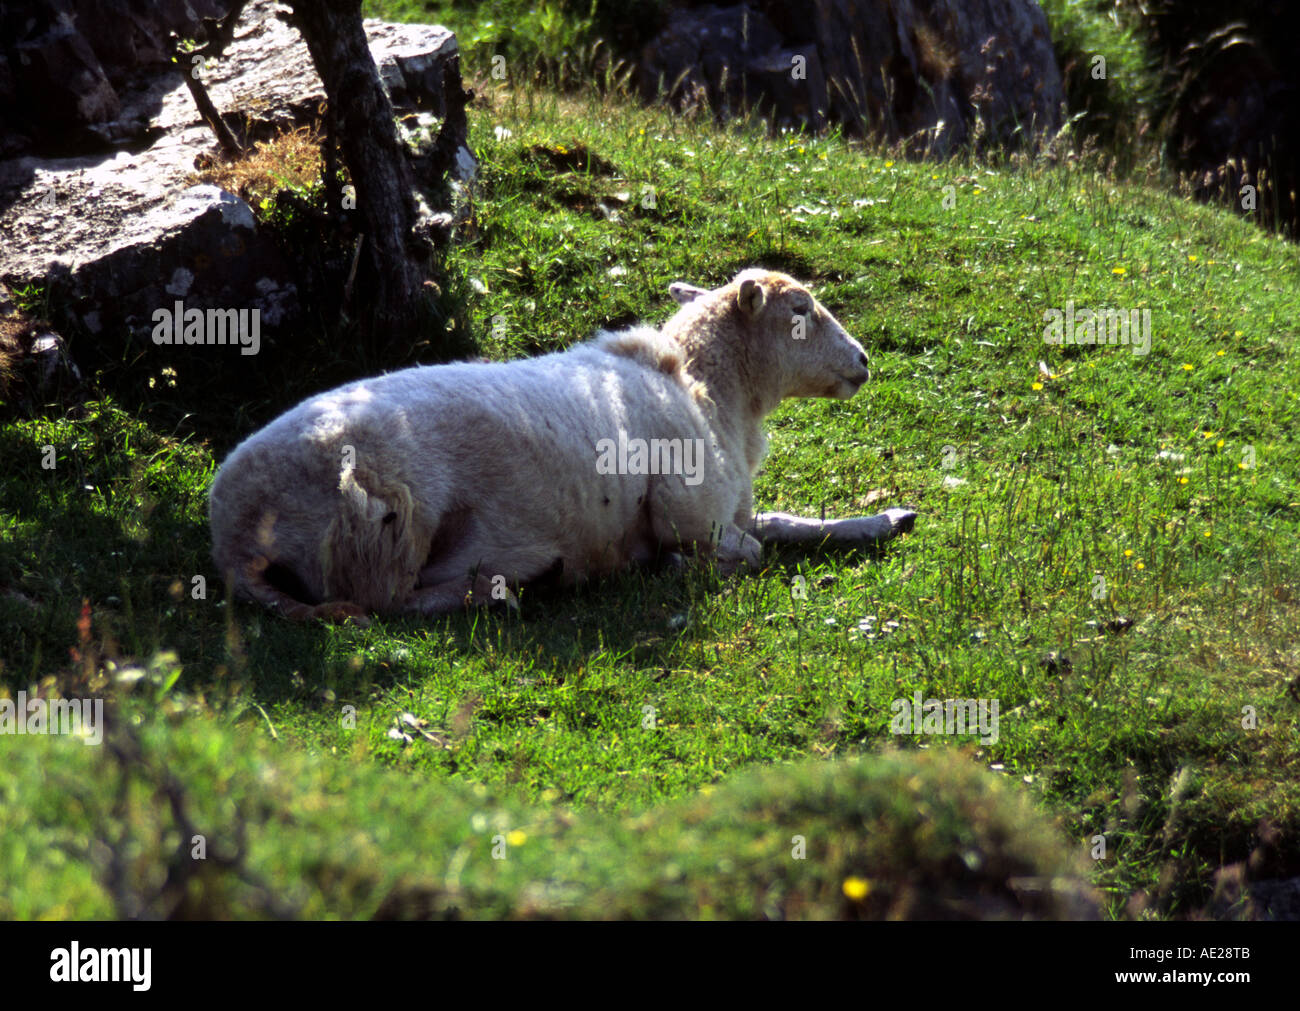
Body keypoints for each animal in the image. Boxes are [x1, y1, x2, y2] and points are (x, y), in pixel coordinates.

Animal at [208, 268, 916, 624]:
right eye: (799, 310)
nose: (863, 360)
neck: (708, 391)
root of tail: (232, 531)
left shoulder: (729, 508)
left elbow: (783, 523)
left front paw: (883, 519)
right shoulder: (692, 516)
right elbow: (749, 550)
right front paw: (670, 567)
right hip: (386, 523)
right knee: (385, 603)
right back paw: (501, 590)